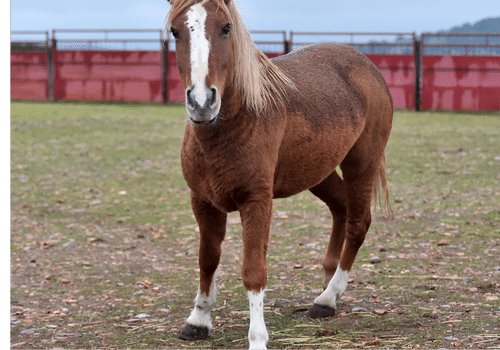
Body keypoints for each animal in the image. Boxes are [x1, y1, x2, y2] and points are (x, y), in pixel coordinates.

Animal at [166, 1, 392, 348]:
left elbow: (253, 271)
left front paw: (257, 337)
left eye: (226, 28)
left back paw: (328, 298)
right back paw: (327, 285)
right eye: (175, 31)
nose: (202, 101)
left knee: (358, 223)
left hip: (361, 163)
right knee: (341, 209)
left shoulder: (257, 202)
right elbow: (208, 259)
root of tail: (367, 66)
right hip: (319, 172)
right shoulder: (203, 201)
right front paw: (198, 319)